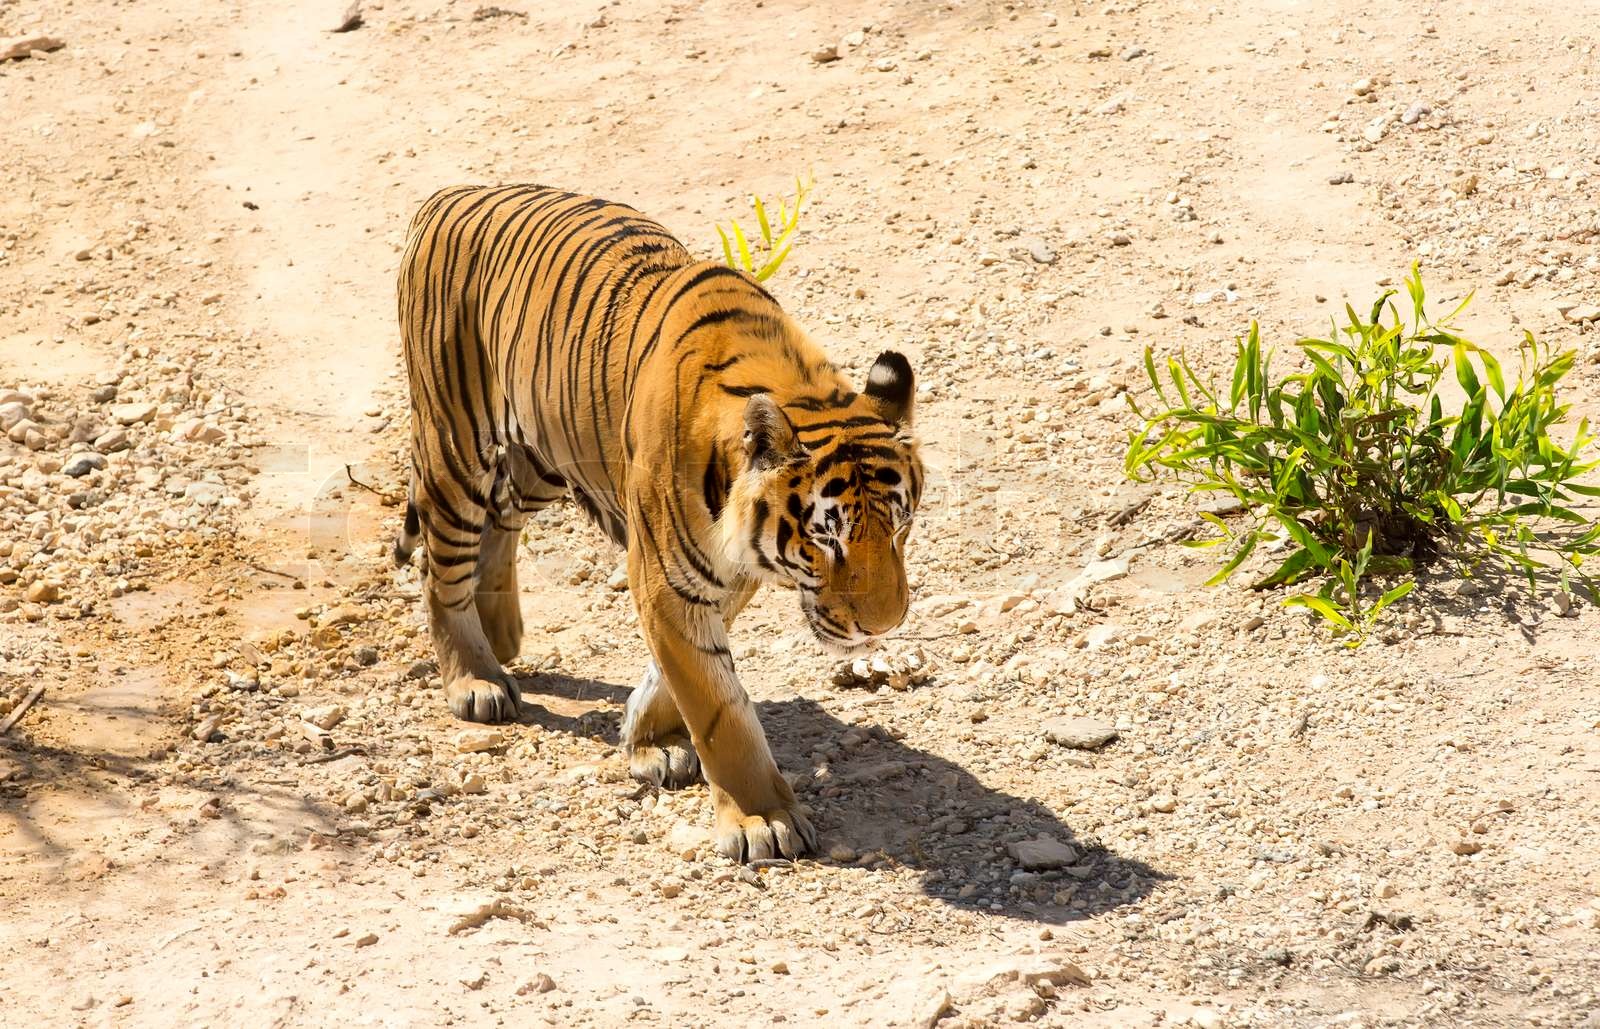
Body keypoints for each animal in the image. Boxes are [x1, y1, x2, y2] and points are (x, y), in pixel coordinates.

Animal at [392, 185, 924, 862]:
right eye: (826, 536)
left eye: (900, 526)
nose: (882, 626)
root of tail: (445, 194)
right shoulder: (665, 574)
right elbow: (716, 702)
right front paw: (761, 818)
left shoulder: (727, 571)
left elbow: (685, 672)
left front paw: (653, 739)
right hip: (454, 442)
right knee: (442, 565)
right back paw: (476, 678)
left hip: (544, 453)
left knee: (502, 515)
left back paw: (502, 632)